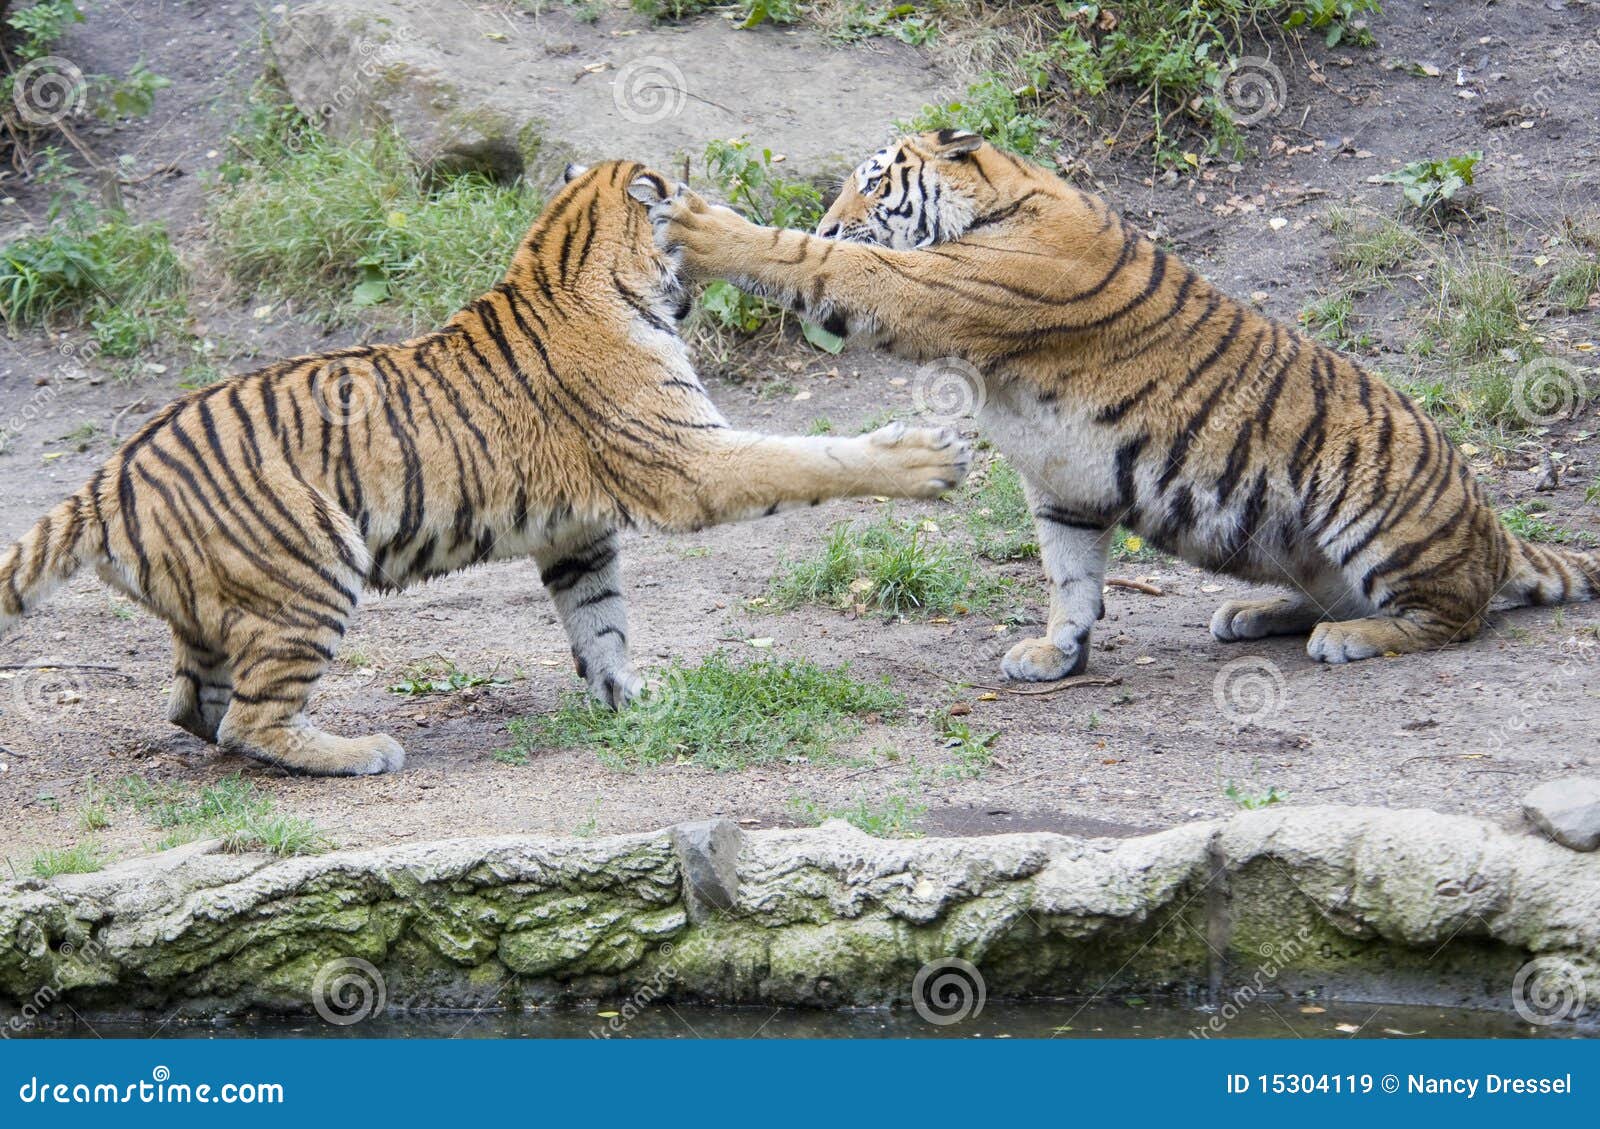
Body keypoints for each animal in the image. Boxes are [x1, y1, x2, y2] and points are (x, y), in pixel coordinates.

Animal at [0, 160, 970, 775]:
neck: (578, 263)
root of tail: (109, 474)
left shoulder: (579, 532)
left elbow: (600, 620)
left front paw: (632, 698)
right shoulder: (688, 459)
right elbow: (803, 456)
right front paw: (927, 457)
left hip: (218, 603)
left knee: (195, 707)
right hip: (313, 567)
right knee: (250, 718)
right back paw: (360, 753)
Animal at [645, 129, 1600, 682]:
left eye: (875, 186)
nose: (832, 218)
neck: (1002, 200)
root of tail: (1491, 520)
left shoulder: (927, 288)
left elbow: (814, 263)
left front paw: (702, 226)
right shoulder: (1065, 484)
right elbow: (1071, 579)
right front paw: (1055, 653)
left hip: (1371, 507)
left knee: (1456, 615)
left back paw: (1355, 641)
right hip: (1302, 545)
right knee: (1348, 594)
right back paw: (1254, 615)